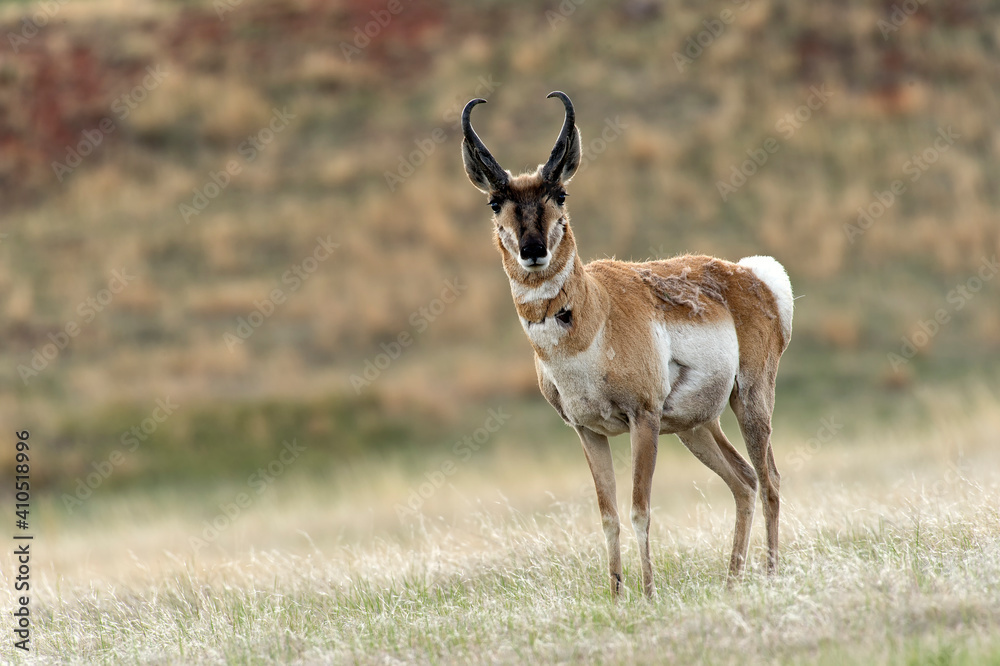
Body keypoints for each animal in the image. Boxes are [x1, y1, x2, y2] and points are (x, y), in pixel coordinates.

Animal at [461, 92, 794, 598]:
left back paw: (770, 575)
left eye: (560, 194)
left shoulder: (643, 420)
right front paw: (617, 594)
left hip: (750, 399)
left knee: (770, 479)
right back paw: (732, 580)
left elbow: (640, 510)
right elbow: (608, 516)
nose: (533, 250)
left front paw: (649, 592)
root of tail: (752, 275)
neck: (595, 313)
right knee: (744, 479)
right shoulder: (588, 432)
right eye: (495, 201)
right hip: (696, 426)